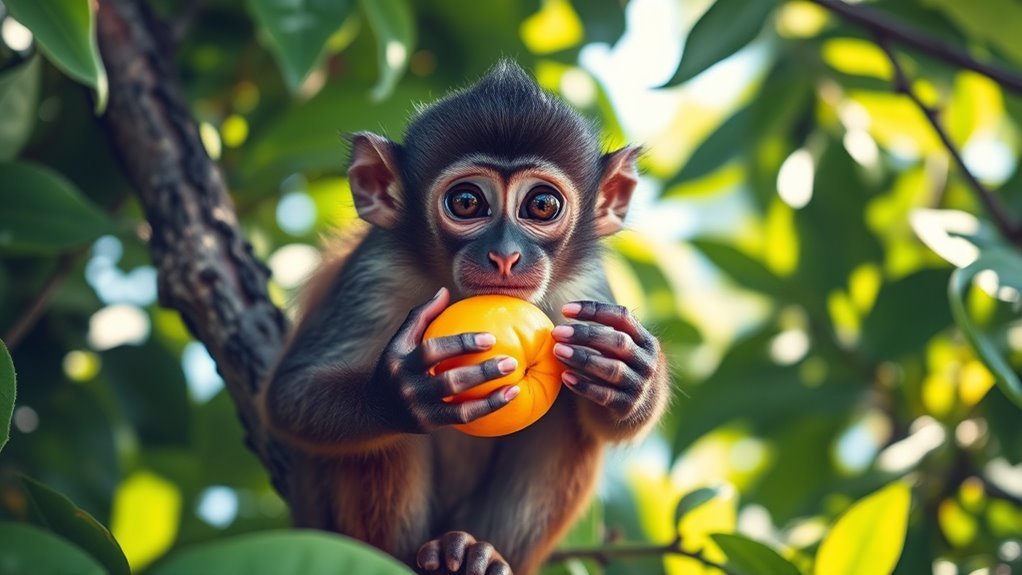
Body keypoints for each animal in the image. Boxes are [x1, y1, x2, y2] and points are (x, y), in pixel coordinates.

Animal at [260, 61, 670, 575]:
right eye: (467, 202)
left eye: (542, 205)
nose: (505, 255)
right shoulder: (375, 273)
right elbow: (291, 395)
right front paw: (400, 391)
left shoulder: (586, 289)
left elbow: (609, 421)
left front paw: (630, 372)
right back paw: (424, 555)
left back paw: (481, 552)